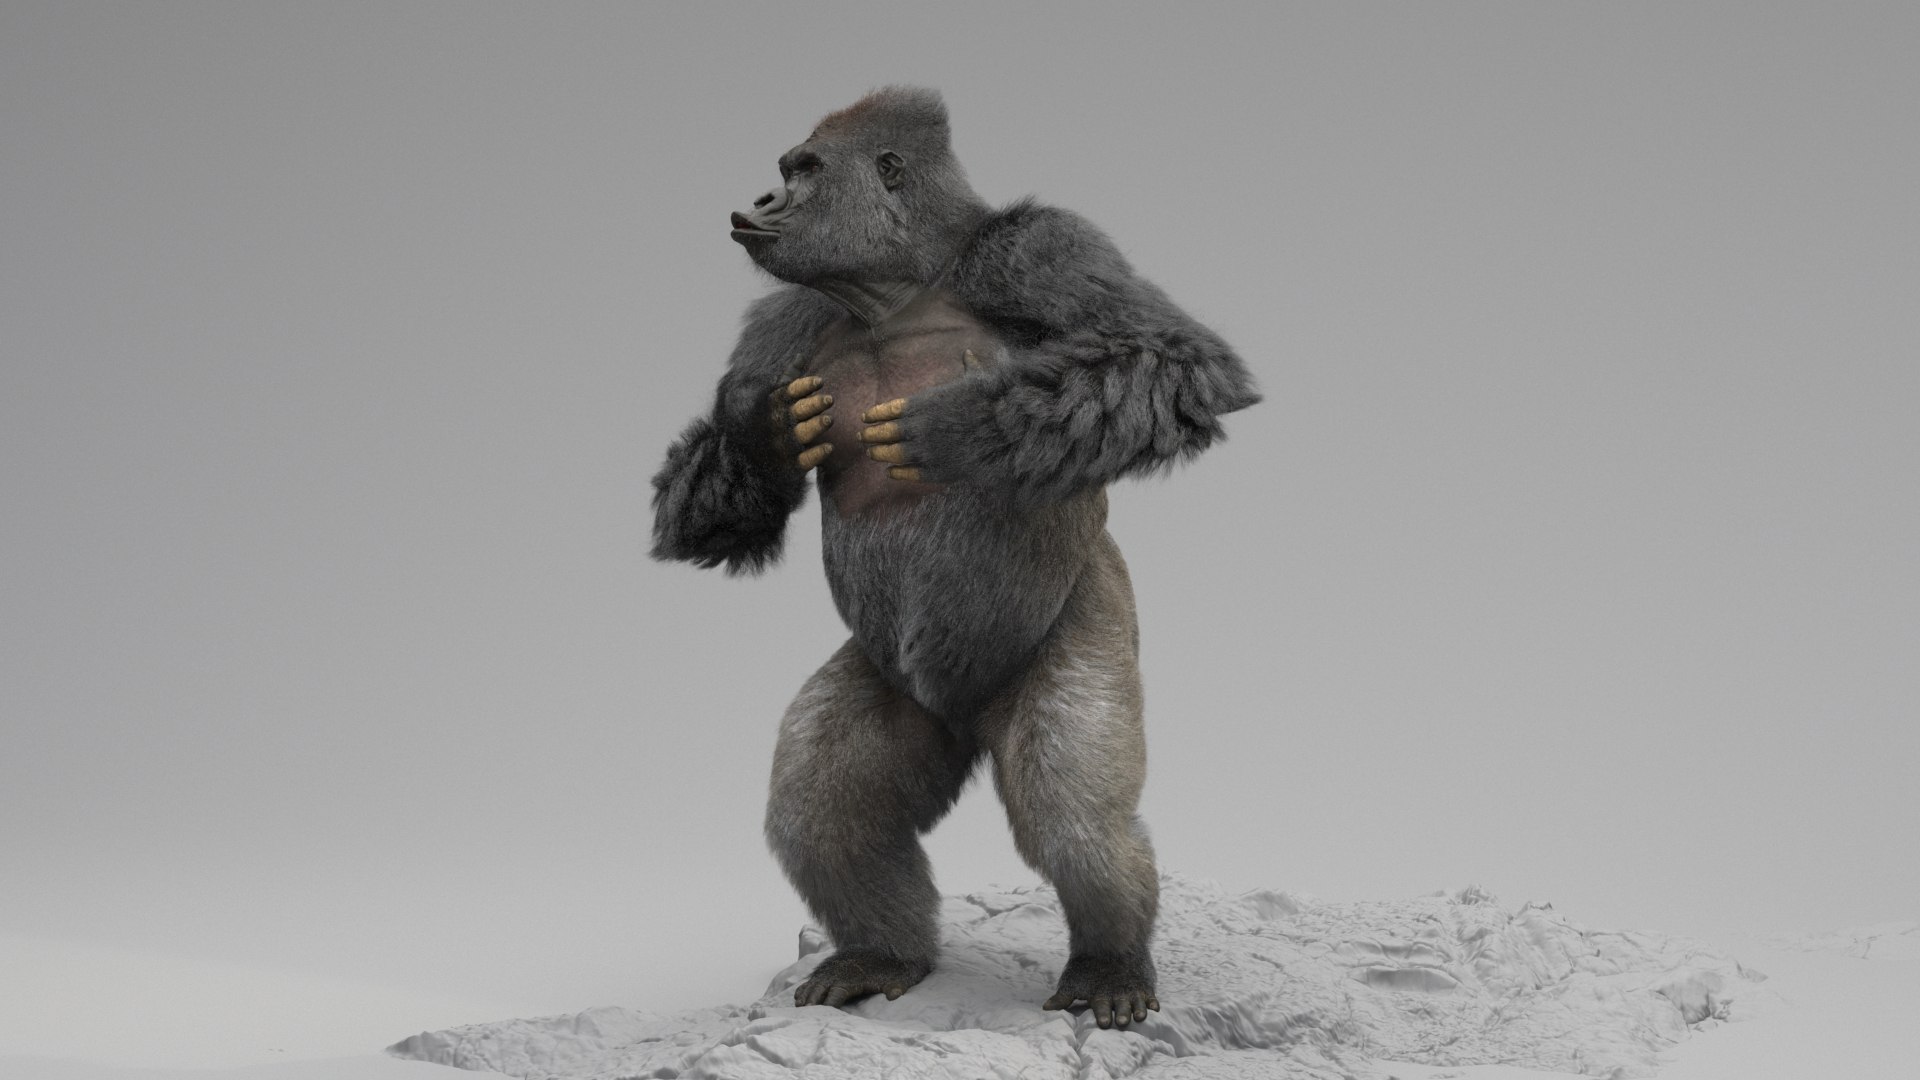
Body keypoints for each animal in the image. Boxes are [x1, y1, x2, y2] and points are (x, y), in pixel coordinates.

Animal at [650, 87, 1259, 1030]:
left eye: (804, 171)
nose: (760, 200)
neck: (897, 285)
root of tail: (966, 718)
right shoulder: (781, 325)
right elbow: (719, 513)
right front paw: (762, 433)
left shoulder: (1045, 252)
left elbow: (1179, 360)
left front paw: (966, 424)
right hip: (900, 688)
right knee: (826, 813)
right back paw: (880, 952)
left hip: (1089, 617)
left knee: (1075, 819)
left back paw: (1110, 964)